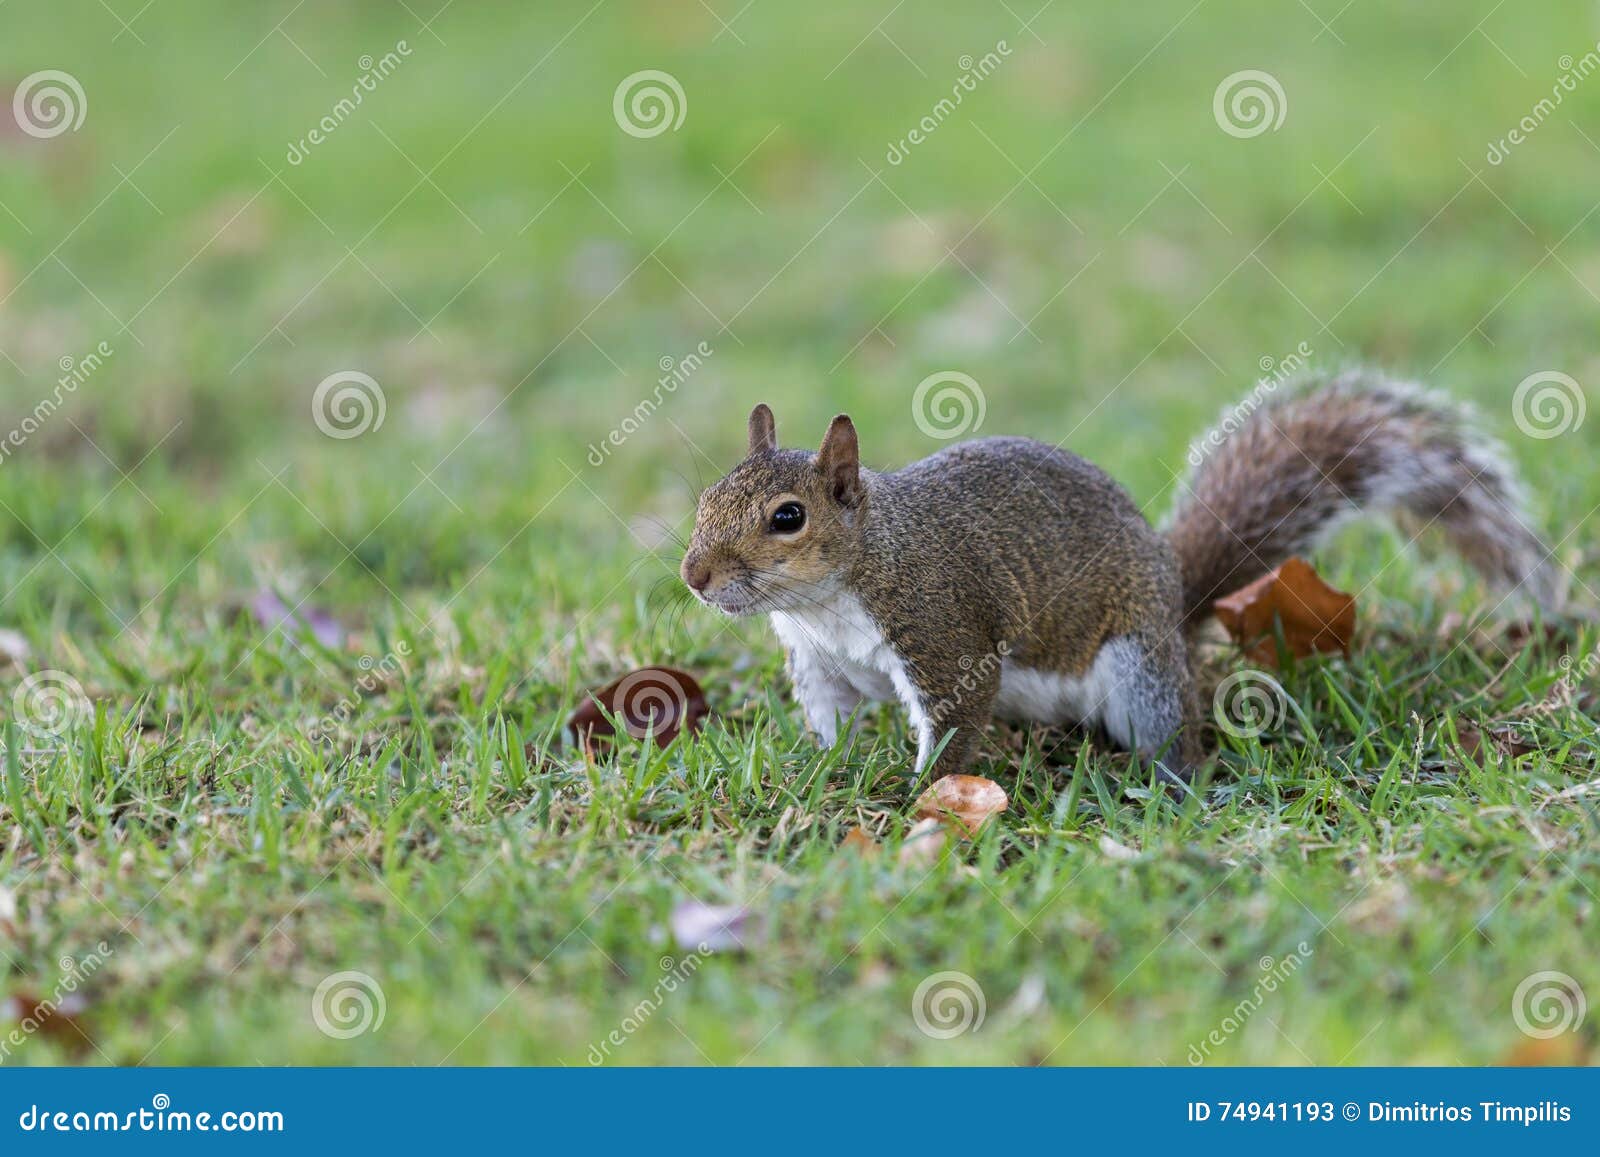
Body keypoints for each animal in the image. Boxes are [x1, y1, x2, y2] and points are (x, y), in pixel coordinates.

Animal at [680, 369, 1561, 782]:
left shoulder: (942, 632)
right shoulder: (820, 662)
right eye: (707, 496)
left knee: (1174, 731)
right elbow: (829, 720)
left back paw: (1168, 774)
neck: (834, 594)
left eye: (787, 517)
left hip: (1138, 667)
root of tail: (1177, 599)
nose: (693, 575)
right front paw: (819, 768)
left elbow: (954, 726)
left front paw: (915, 798)